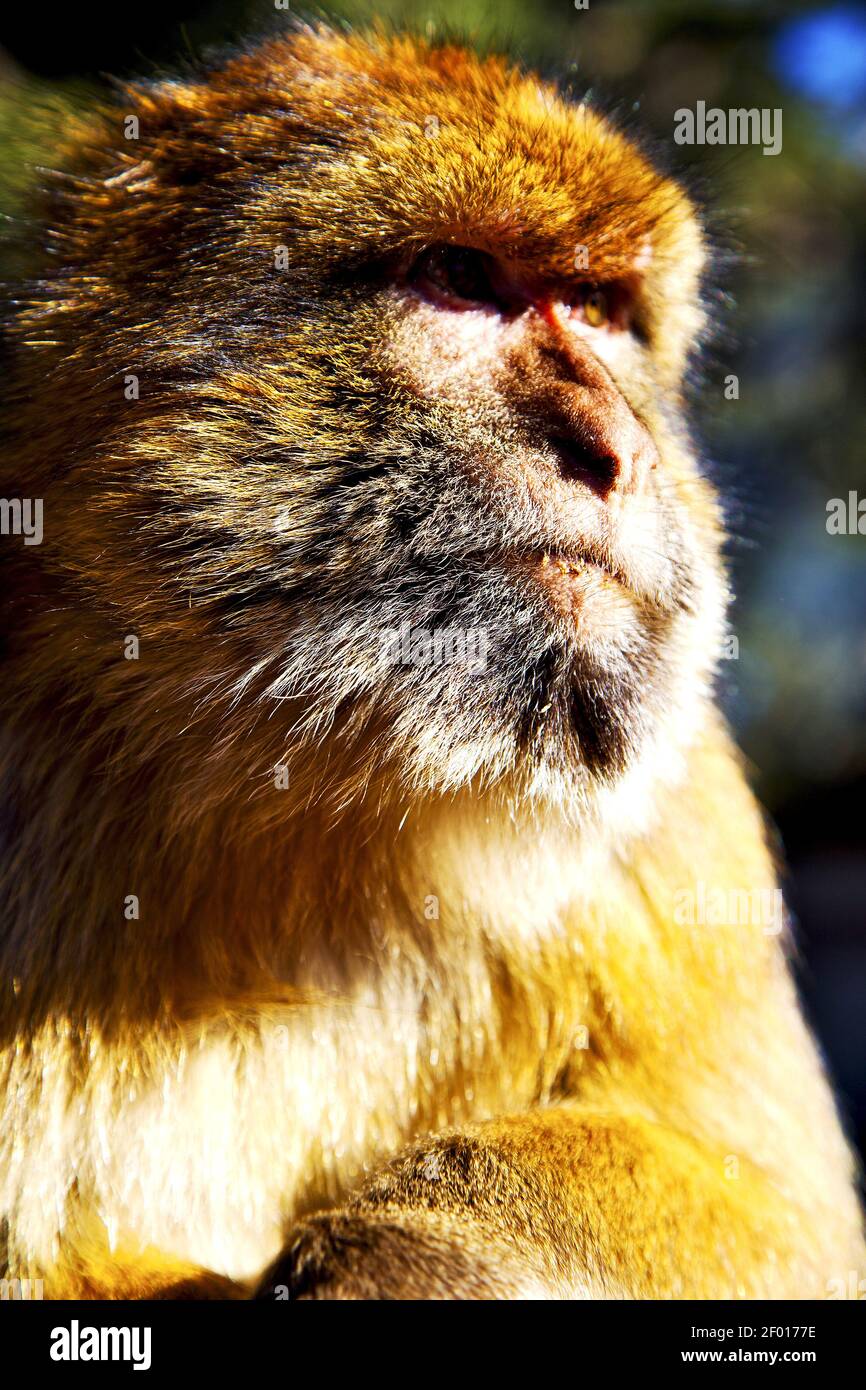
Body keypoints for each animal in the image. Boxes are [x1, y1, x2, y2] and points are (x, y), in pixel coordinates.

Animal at [0, 23, 863, 1301]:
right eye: (460, 279)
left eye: (597, 309)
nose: (617, 449)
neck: (308, 794)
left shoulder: (678, 816)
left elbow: (794, 1225)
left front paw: (427, 1240)